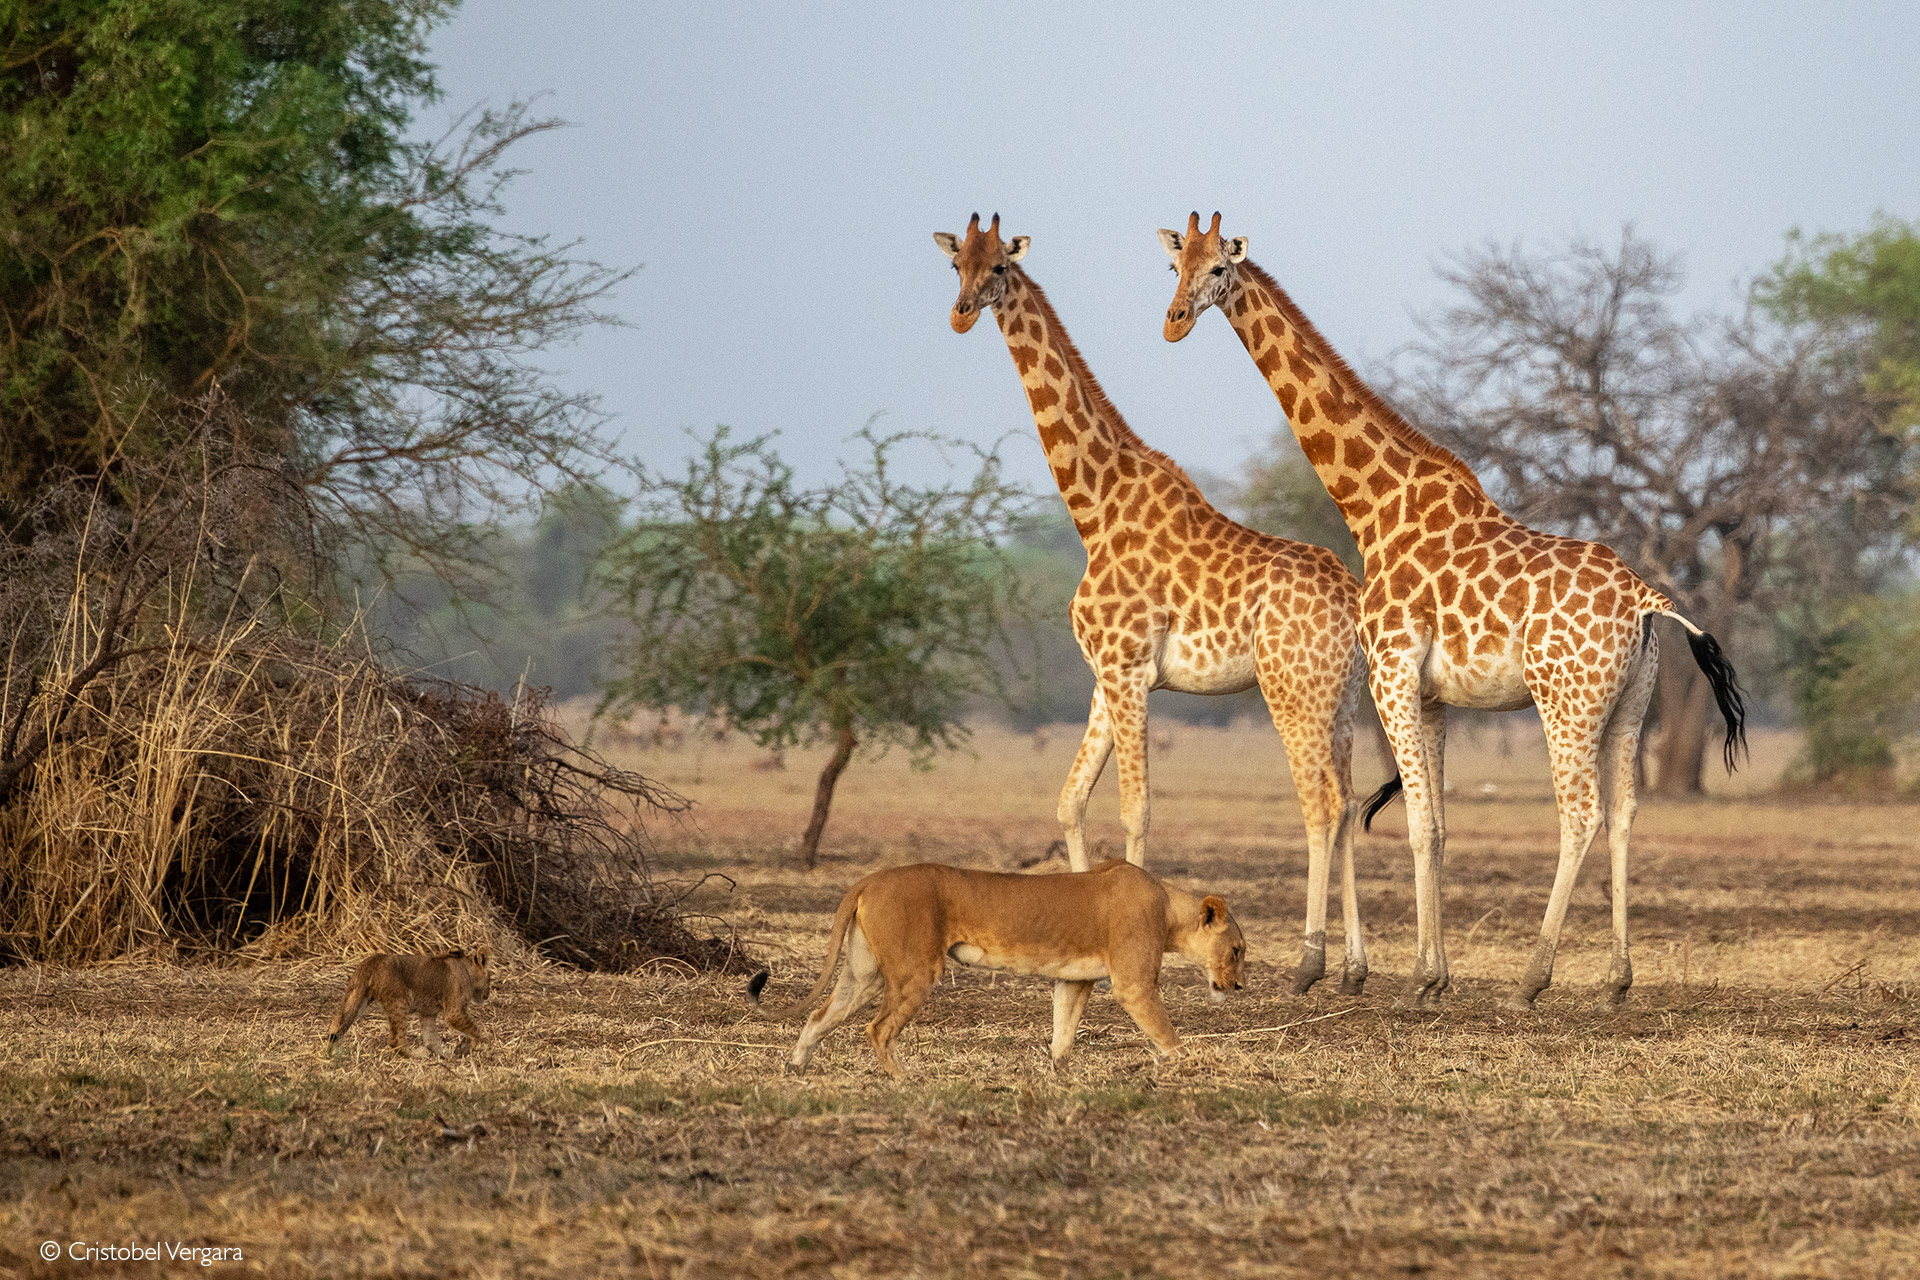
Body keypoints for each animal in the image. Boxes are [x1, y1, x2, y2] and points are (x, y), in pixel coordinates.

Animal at [326, 950, 491, 1060]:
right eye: (490, 979)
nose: (488, 994)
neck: (467, 970)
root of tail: (373, 960)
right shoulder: (454, 1011)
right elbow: (474, 1030)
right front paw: (465, 1049)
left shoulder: (428, 1013)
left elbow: (431, 1038)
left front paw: (445, 1056)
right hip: (399, 1001)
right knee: (395, 1040)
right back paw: (417, 1055)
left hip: (356, 997)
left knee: (338, 1022)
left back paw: (333, 1052)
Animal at [746, 860, 1244, 1077]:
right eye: (1238, 950)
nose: (1238, 986)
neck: (1169, 908)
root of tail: (869, 878)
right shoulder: (1133, 983)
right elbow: (1165, 1032)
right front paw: (1191, 1065)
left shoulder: (1074, 979)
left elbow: (1064, 1031)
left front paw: (1057, 1073)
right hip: (915, 970)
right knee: (878, 1028)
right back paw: (907, 1080)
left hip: (862, 973)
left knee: (820, 1016)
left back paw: (795, 1067)